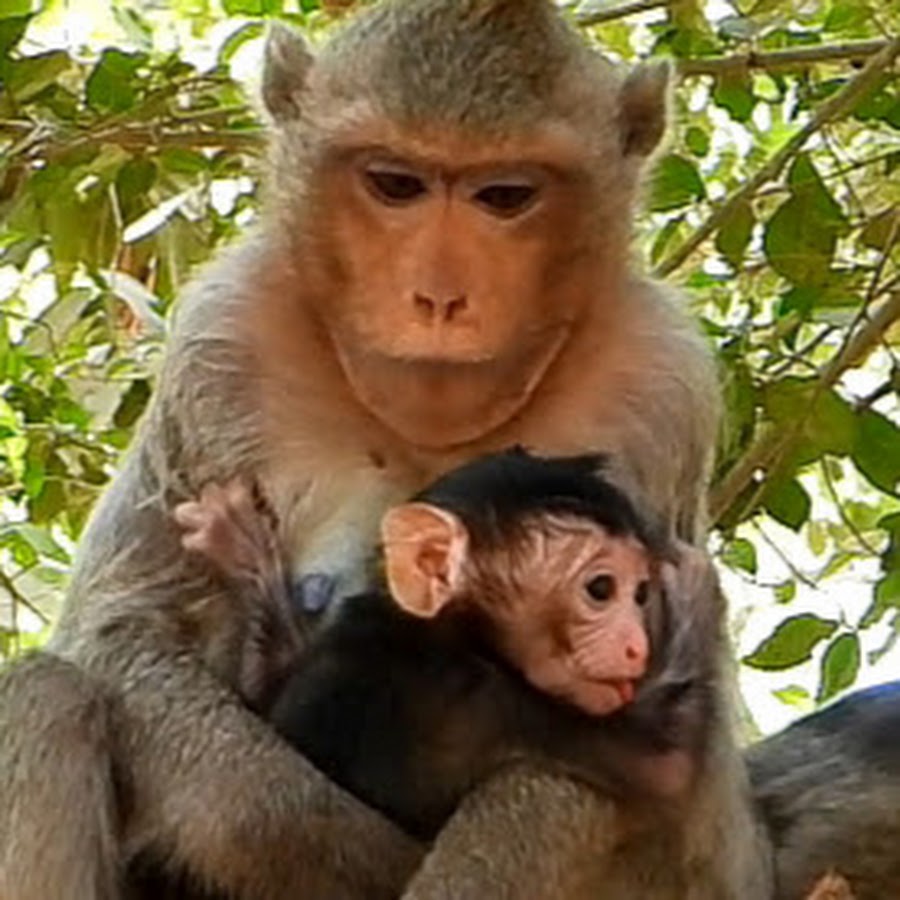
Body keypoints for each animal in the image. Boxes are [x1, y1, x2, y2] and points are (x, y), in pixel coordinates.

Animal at [171, 451, 719, 842]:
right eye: (601, 589)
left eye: (639, 594)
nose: (636, 647)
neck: (428, 632)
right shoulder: (484, 701)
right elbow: (666, 766)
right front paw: (695, 582)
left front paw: (238, 544)